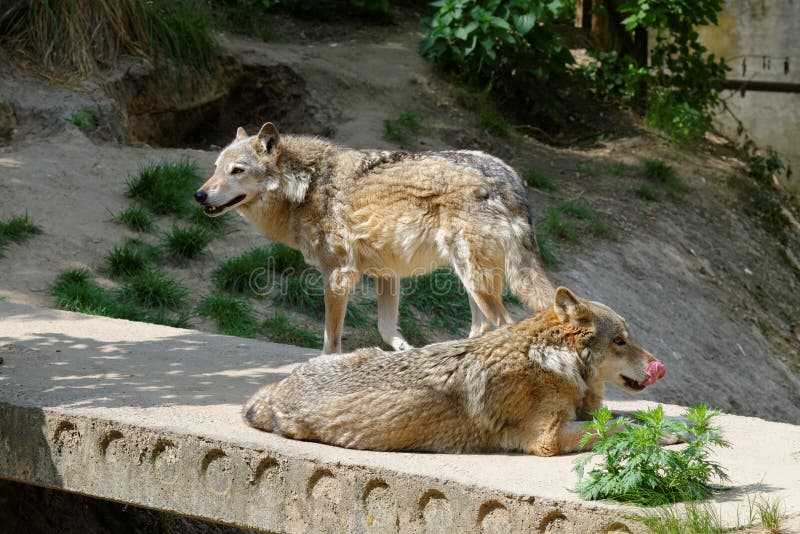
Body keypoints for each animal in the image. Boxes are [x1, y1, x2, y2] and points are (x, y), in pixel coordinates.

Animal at [195, 122, 554, 354]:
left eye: (237, 170)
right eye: (215, 168)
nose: (199, 195)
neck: (306, 186)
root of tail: (508, 178)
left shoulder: (338, 276)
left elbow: (330, 342)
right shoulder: (387, 275)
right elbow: (385, 329)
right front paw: (405, 352)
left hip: (474, 278)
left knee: (504, 324)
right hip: (472, 282)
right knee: (483, 328)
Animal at [242, 287, 667, 455]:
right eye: (621, 341)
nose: (658, 366)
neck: (552, 360)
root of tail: (272, 394)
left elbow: (624, 418)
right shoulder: (547, 439)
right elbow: (619, 428)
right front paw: (662, 436)